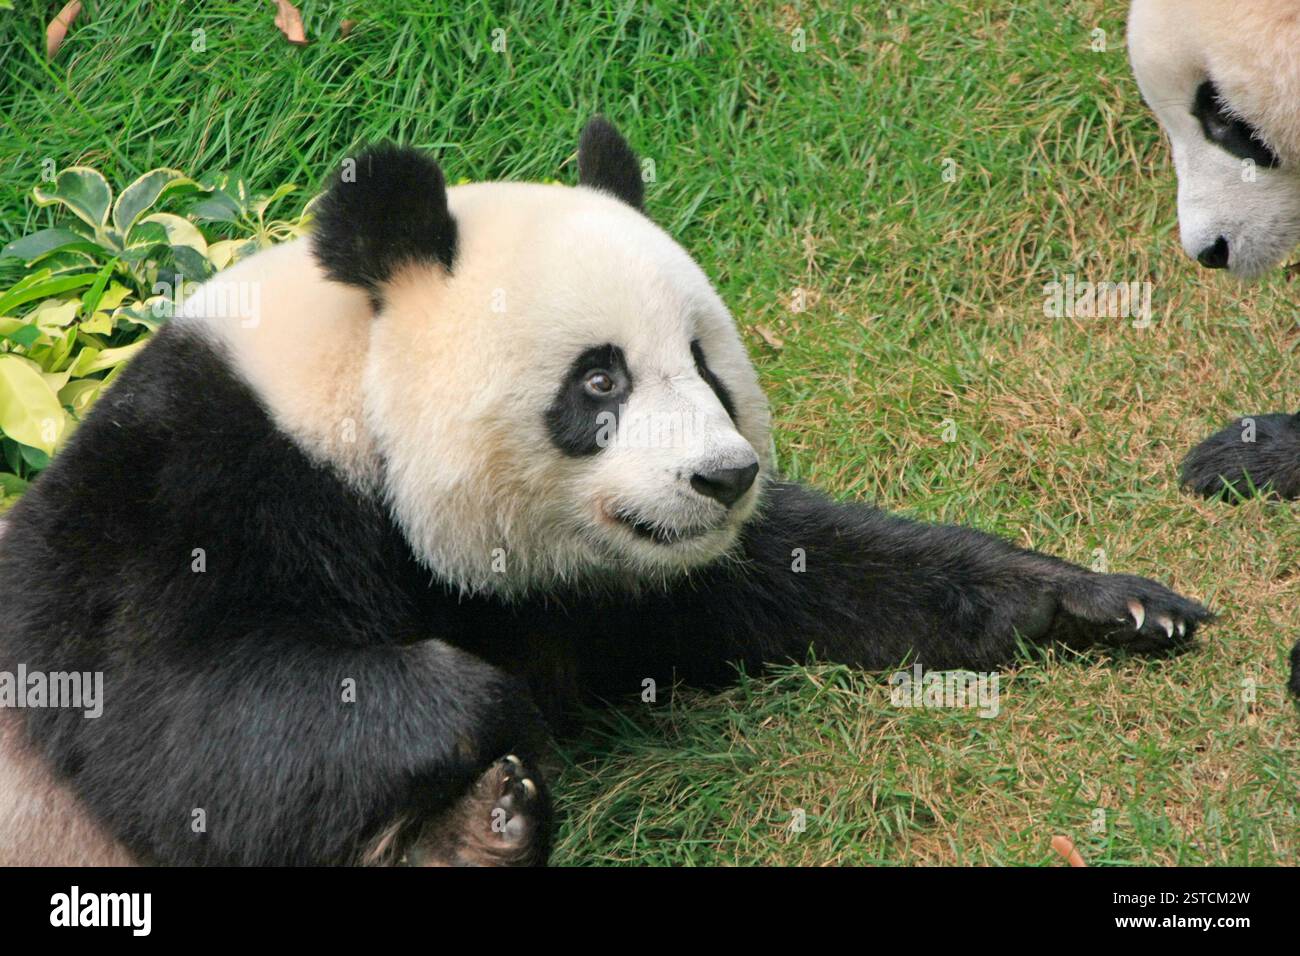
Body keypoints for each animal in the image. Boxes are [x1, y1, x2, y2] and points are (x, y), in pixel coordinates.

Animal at [0, 117, 1213, 866]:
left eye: (705, 363)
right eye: (600, 379)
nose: (723, 476)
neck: (349, 407)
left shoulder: (608, 578)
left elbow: (801, 574)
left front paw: (1105, 600)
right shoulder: (182, 495)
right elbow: (176, 726)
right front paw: (482, 706)